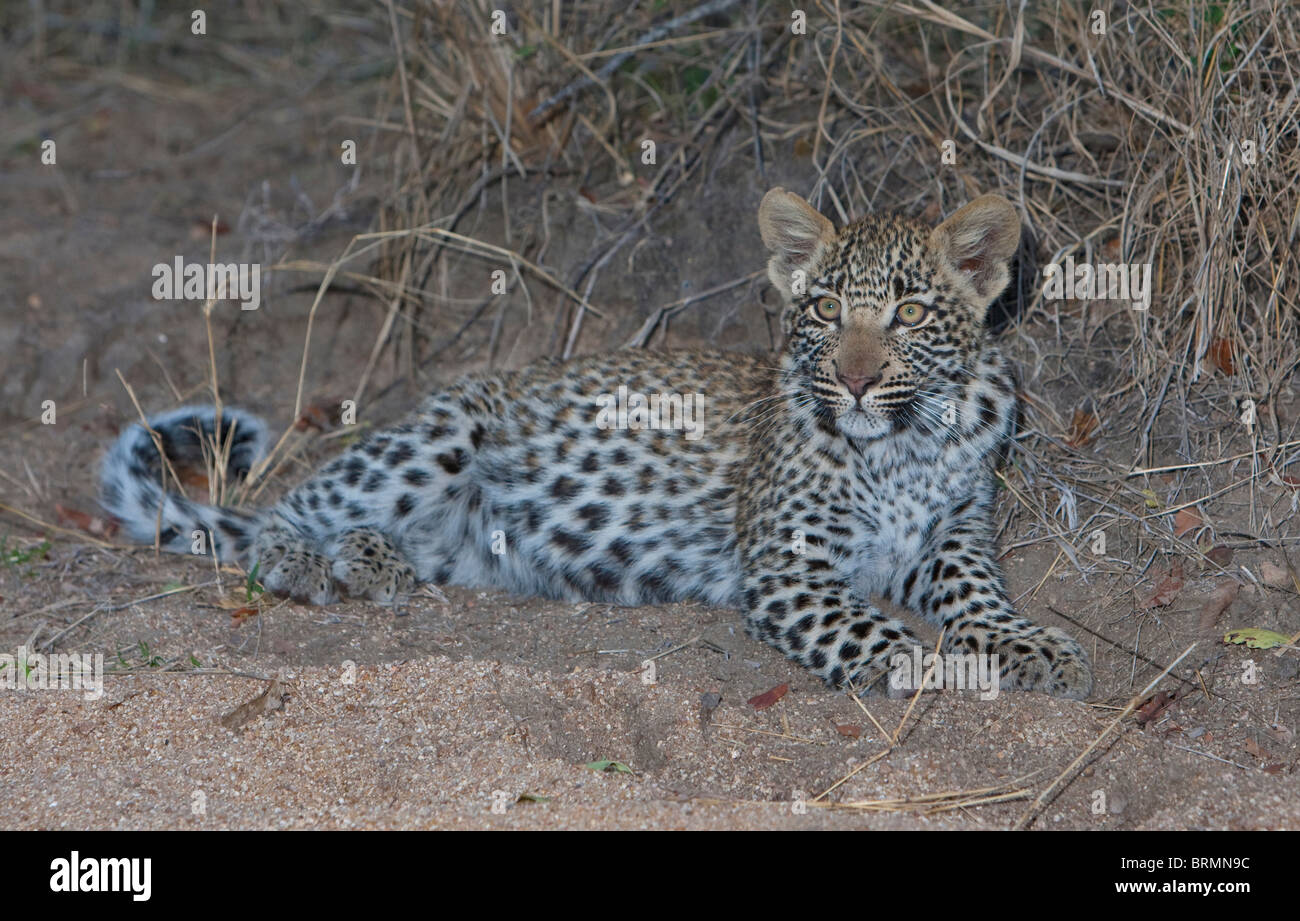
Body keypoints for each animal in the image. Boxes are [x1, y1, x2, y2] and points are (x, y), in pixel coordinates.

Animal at [100, 188, 1092, 699]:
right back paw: (310, 560)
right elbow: (878, 632)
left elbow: (979, 596)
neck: (904, 445)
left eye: (911, 314)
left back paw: (375, 560)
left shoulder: (954, 535)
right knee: (290, 505)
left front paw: (1031, 646)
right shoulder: (789, 566)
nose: (850, 380)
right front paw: (939, 664)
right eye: (820, 309)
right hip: (446, 429)